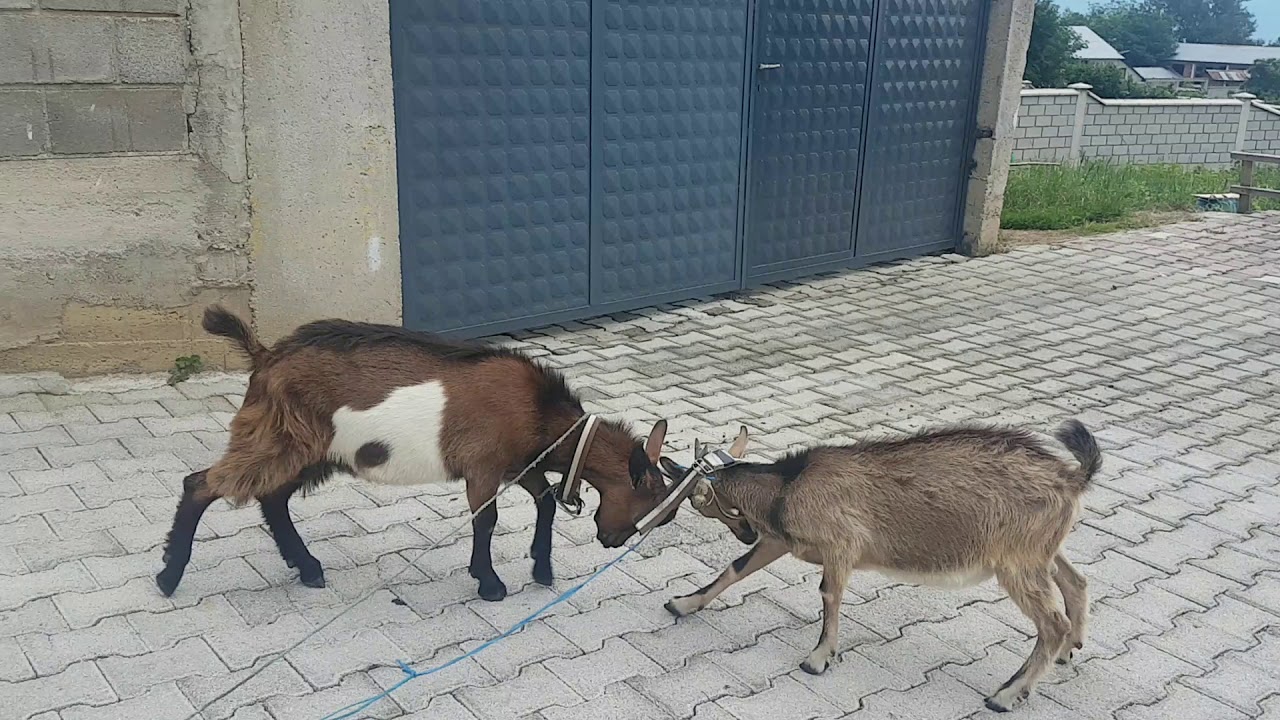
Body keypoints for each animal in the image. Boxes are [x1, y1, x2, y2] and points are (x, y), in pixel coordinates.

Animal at [156, 306, 679, 602]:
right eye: (651, 504)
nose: (611, 540)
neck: (539, 410)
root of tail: (264, 356)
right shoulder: (483, 466)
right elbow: (486, 521)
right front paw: (489, 584)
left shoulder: (519, 464)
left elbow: (546, 500)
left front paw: (541, 567)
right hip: (278, 438)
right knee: (201, 484)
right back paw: (168, 577)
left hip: (308, 449)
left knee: (272, 498)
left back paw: (307, 569)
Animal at [660, 420, 1101, 713]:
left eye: (696, 499)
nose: (744, 533)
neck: (789, 486)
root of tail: (1072, 478)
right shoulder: (781, 540)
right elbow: (736, 569)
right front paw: (682, 604)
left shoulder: (841, 544)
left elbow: (829, 594)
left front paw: (819, 658)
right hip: (1038, 550)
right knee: (1075, 581)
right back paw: (1070, 648)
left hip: (1016, 560)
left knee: (1052, 622)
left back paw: (1007, 694)